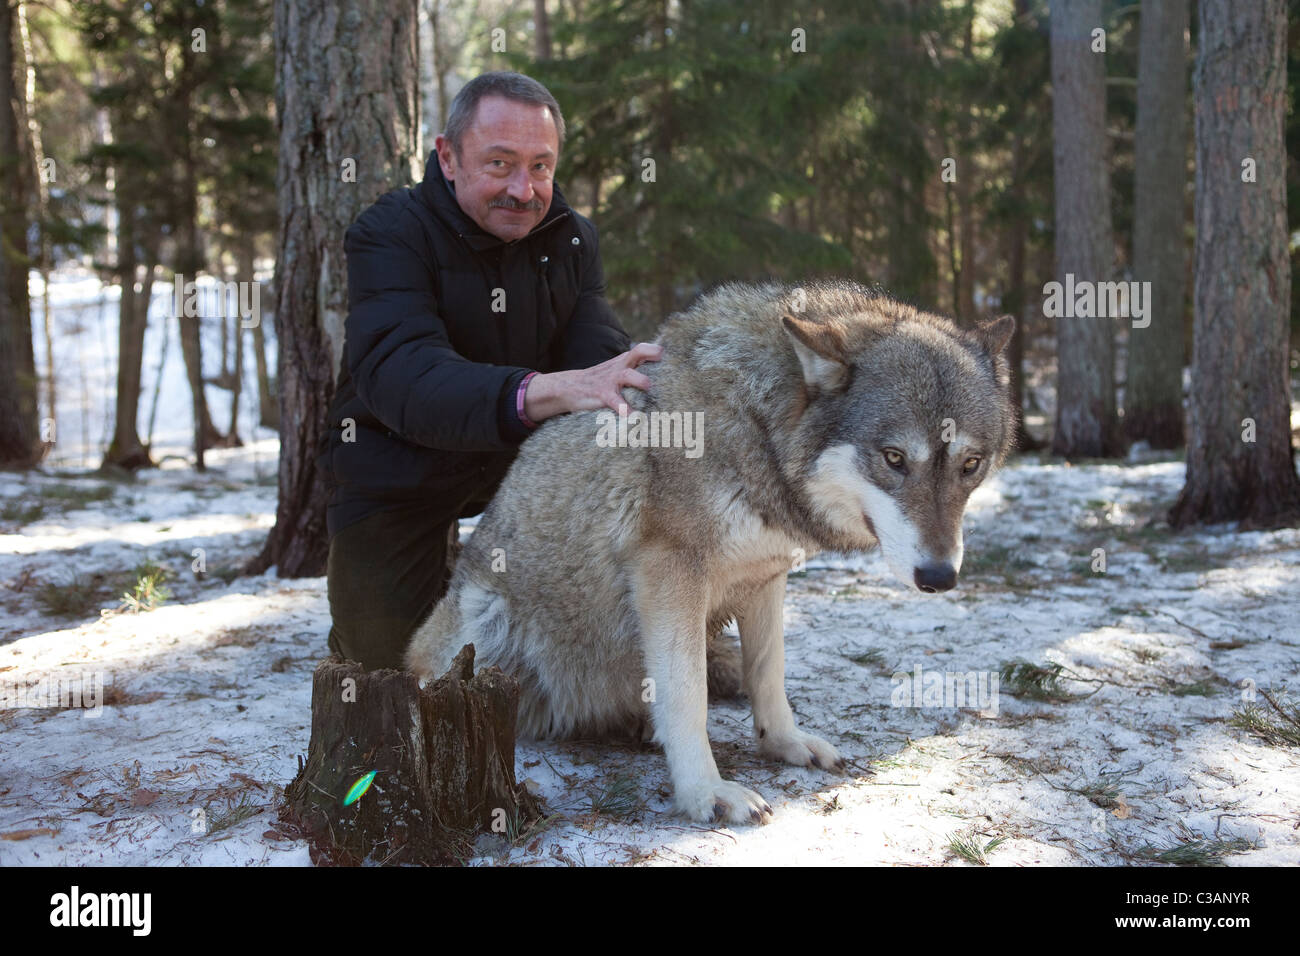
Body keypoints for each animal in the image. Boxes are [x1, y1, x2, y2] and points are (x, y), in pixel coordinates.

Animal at [406, 280, 1017, 825]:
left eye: (970, 465)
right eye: (893, 458)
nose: (939, 576)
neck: (757, 429)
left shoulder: (767, 573)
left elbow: (768, 673)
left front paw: (784, 744)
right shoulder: (668, 571)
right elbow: (686, 695)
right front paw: (705, 793)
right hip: (483, 626)